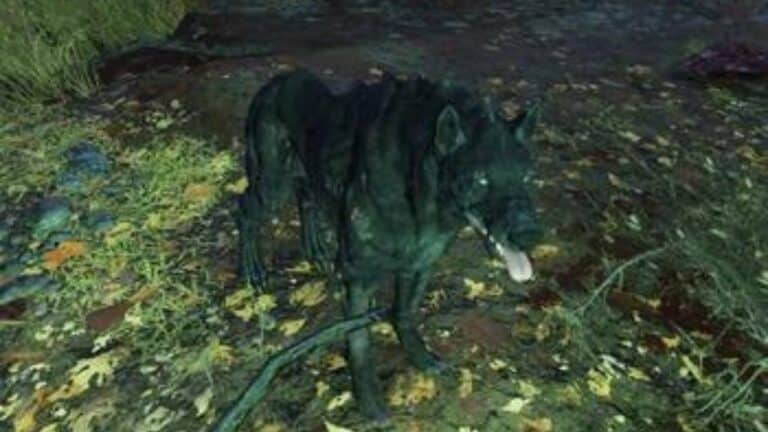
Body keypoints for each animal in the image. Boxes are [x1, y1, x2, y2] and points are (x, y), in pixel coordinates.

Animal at [237, 68, 542, 421]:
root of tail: (273, 83)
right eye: (480, 179)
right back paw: (252, 268)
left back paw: (315, 247)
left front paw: (419, 355)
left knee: (307, 199)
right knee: (245, 208)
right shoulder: (358, 276)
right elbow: (359, 343)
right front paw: (368, 400)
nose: (531, 234)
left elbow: (405, 313)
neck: (420, 191)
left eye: (527, 177)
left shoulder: (420, 263)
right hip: (272, 186)